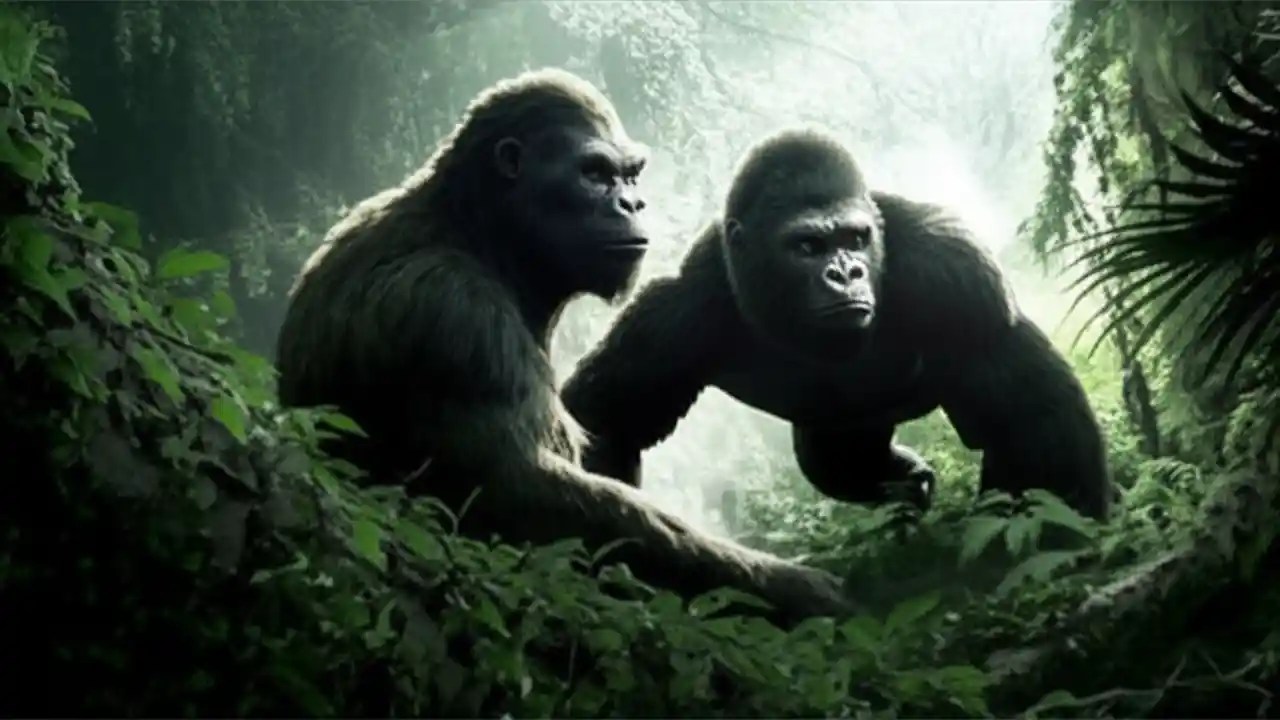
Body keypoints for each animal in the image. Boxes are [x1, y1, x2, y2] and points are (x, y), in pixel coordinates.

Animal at [562, 128, 1111, 520]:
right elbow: (605, 431)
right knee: (839, 465)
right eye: (807, 246)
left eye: (854, 238)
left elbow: (1028, 419)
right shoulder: (675, 317)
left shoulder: (957, 275)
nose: (846, 273)